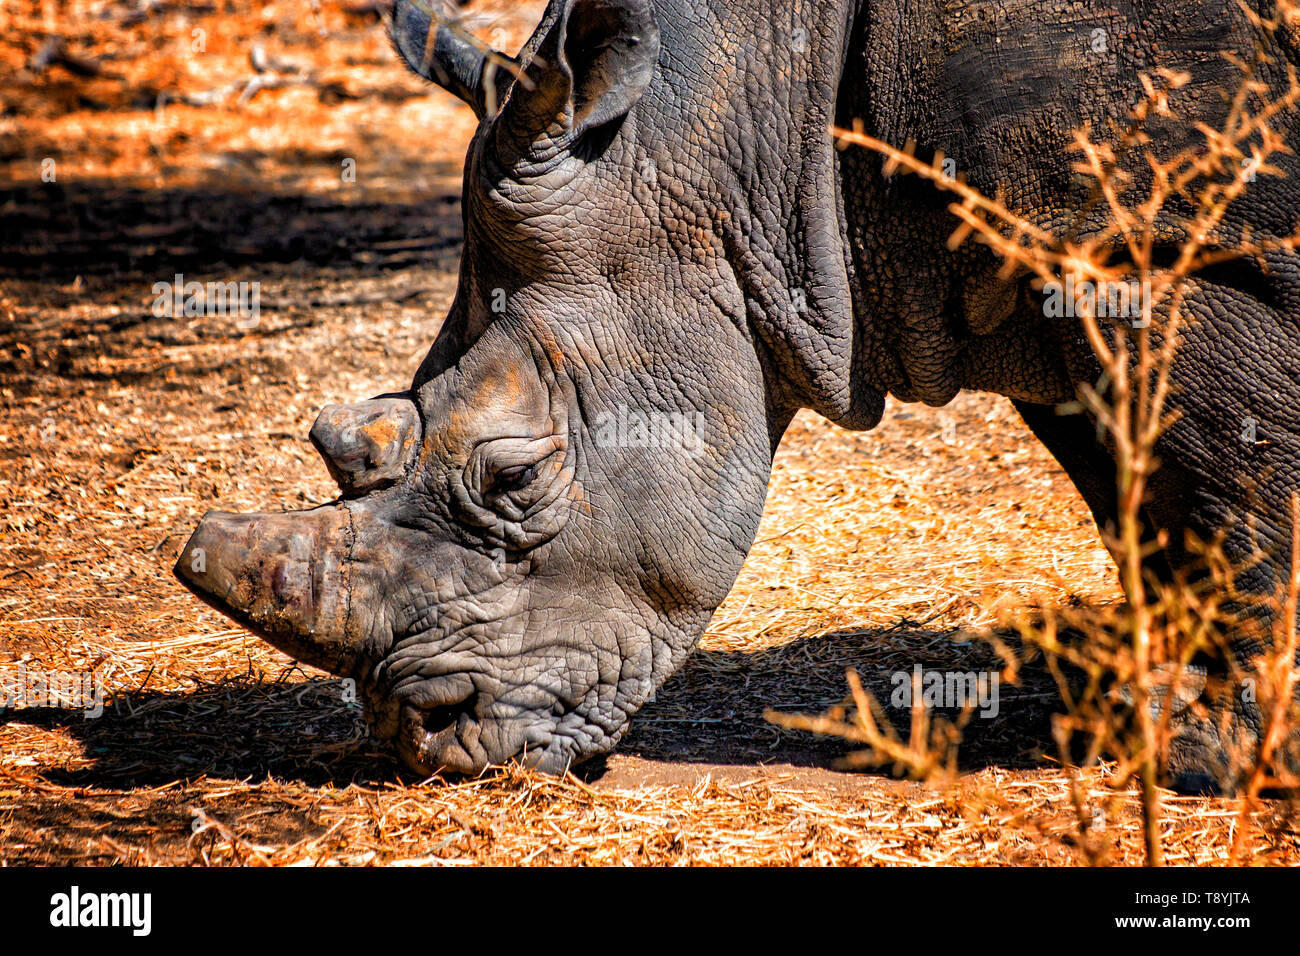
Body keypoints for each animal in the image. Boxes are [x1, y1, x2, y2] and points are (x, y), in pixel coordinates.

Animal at [175, 0, 1300, 793]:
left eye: (516, 478)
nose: (424, 739)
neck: (743, 119)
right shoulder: (1043, 263)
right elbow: (1141, 502)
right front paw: (1147, 718)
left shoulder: (1169, 244)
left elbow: (1237, 494)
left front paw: (1214, 763)